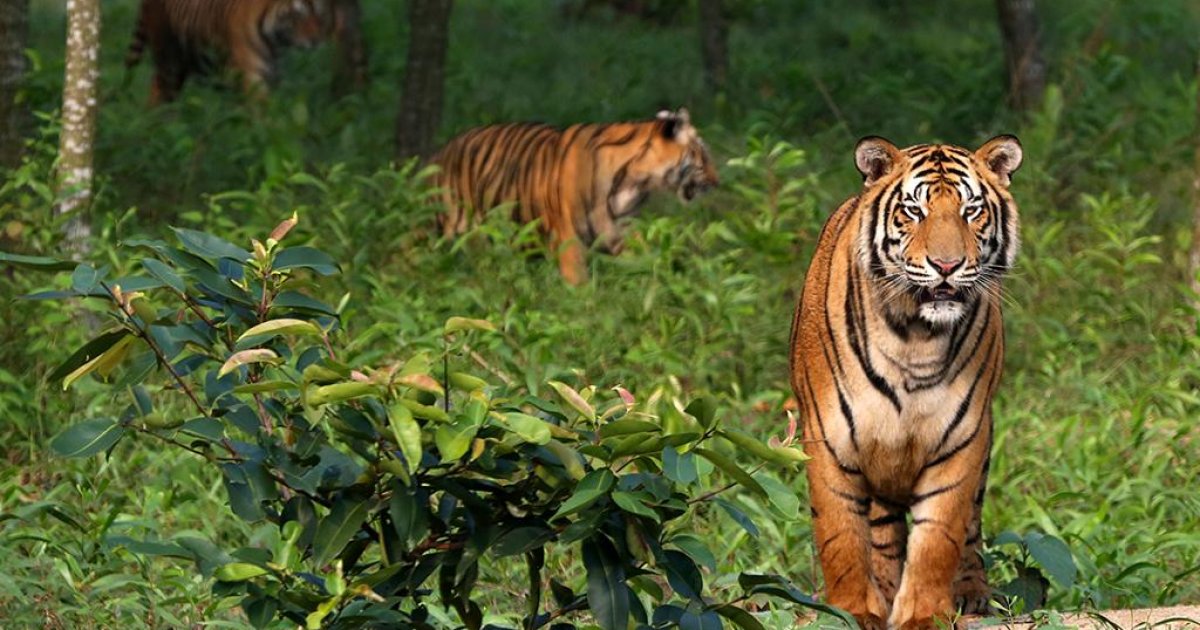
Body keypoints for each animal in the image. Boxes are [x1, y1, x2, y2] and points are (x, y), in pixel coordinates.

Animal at [125, 0, 332, 105]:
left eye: (319, 13)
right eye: (298, 15)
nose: (318, 39)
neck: (276, 43)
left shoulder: (271, 77)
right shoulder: (252, 77)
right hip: (169, 60)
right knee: (159, 90)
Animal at [430, 108, 719, 285]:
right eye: (703, 157)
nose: (717, 182)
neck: (634, 183)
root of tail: (441, 151)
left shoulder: (621, 232)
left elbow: (647, 262)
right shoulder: (568, 242)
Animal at [788, 135, 1023, 629]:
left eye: (972, 210)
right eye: (914, 210)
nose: (947, 265)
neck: (916, 337)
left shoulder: (962, 437)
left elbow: (939, 538)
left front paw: (924, 615)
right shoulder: (829, 436)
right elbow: (841, 536)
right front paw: (853, 611)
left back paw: (971, 593)